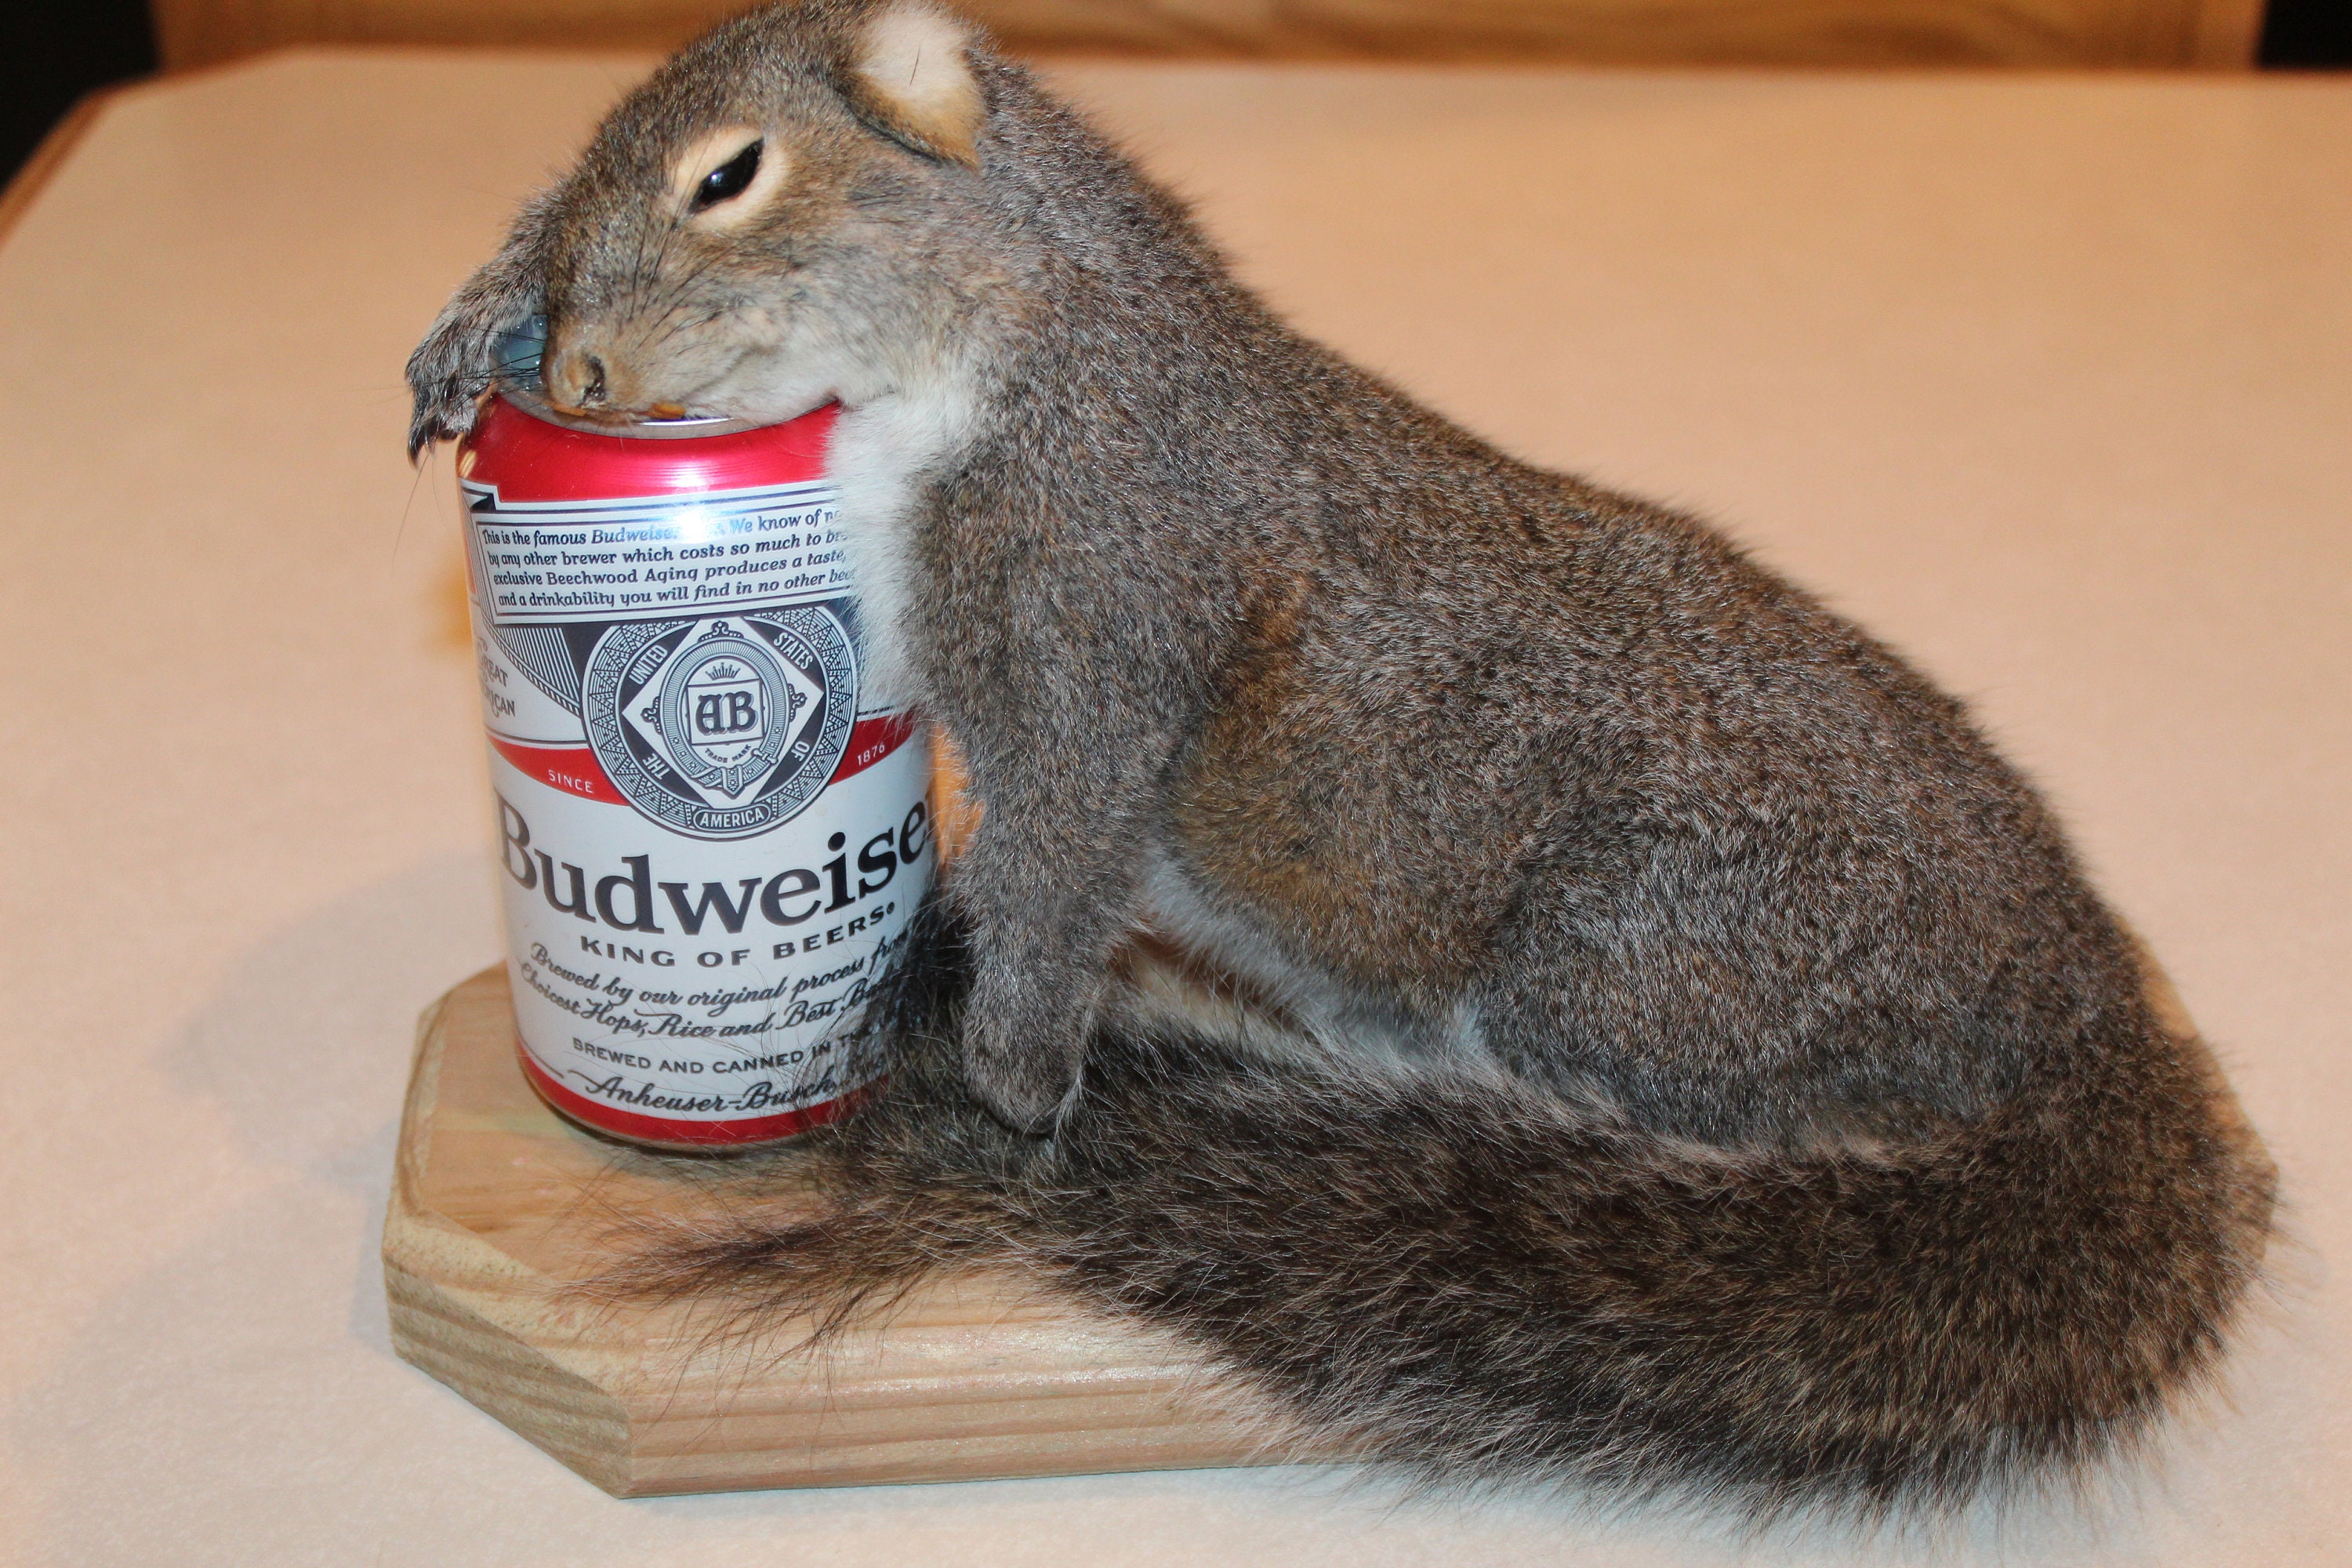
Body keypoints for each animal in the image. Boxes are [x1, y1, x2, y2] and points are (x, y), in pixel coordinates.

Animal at [408, 0, 2276, 1522]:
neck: (989, 342)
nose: (586, 373)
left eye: (731, 174)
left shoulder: (1099, 587)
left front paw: (1012, 1081)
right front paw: (483, 313)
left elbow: (1064, 842)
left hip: (1641, 967)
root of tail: (2080, 1006)